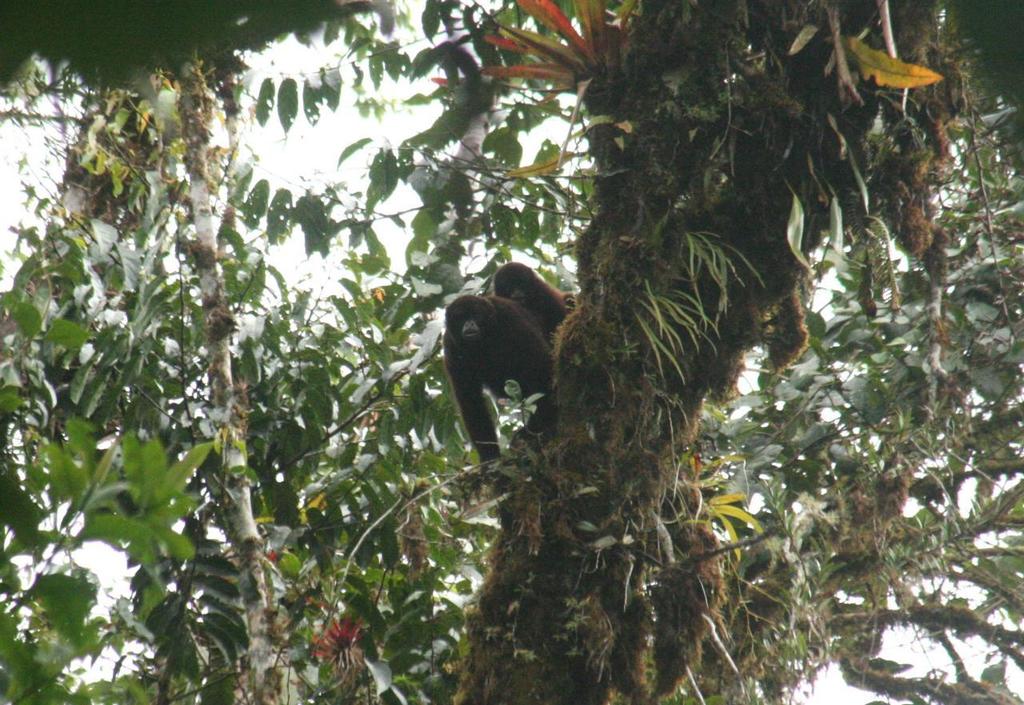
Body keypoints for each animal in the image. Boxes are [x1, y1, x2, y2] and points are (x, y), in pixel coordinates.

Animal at [443, 294, 556, 462]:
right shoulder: (451, 347)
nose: (469, 323)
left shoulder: (510, 318)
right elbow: (470, 401)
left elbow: (540, 364)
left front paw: (537, 428)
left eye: (476, 315)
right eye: (461, 317)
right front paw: (489, 456)